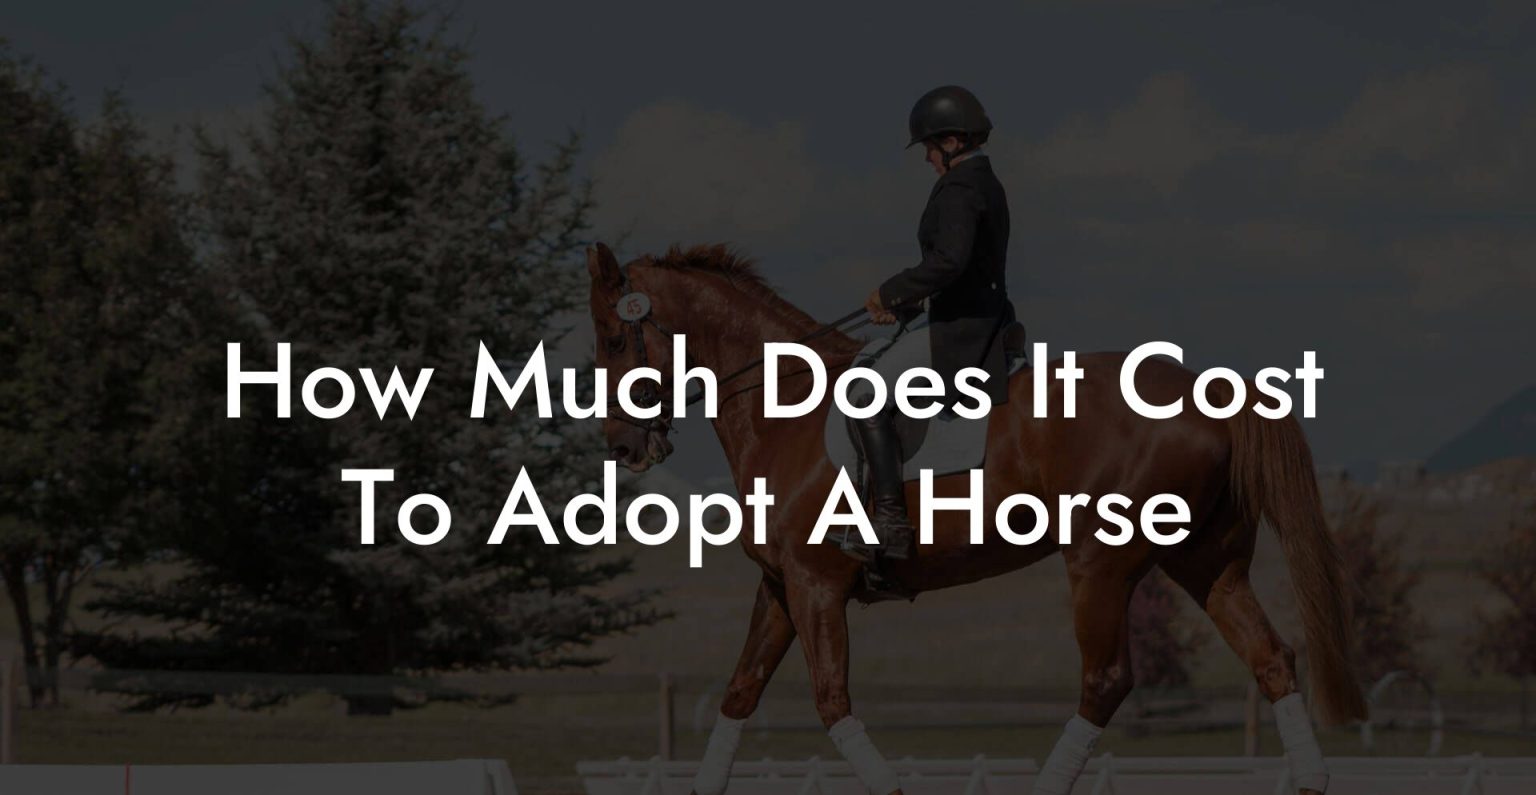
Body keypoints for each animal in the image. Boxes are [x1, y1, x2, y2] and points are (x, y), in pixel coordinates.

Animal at [584, 242, 1366, 795]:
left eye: (616, 341)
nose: (621, 447)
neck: (782, 402)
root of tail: (1210, 393)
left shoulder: (816, 587)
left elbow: (832, 702)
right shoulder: (781, 587)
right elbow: (741, 691)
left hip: (1100, 563)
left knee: (1106, 680)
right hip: (1206, 561)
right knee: (1271, 657)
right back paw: (1309, 779)